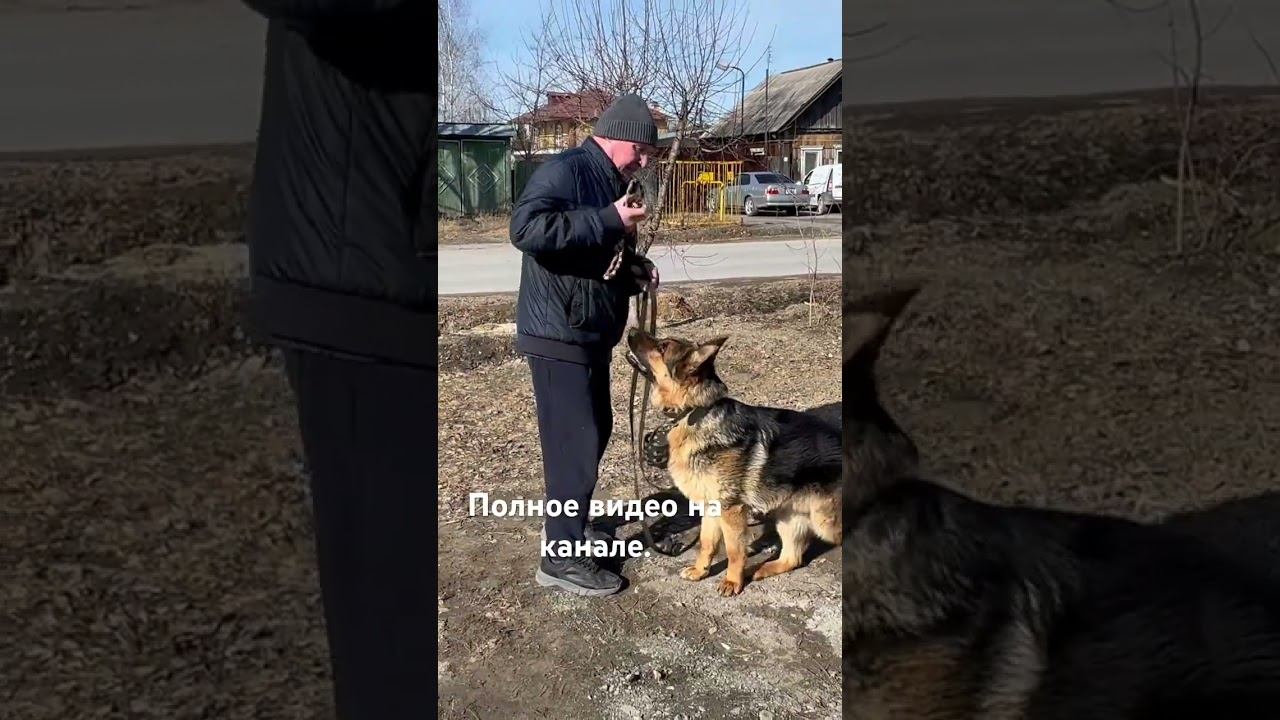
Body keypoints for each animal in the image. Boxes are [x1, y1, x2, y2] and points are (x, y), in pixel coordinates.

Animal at [624, 325, 842, 596]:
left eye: (663, 346)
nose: (631, 329)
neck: (695, 412)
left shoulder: (731, 510)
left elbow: (733, 550)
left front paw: (732, 581)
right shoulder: (710, 507)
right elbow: (706, 543)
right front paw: (700, 571)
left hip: (825, 521)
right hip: (789, 515)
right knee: (793, 558)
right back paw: (763, 569)